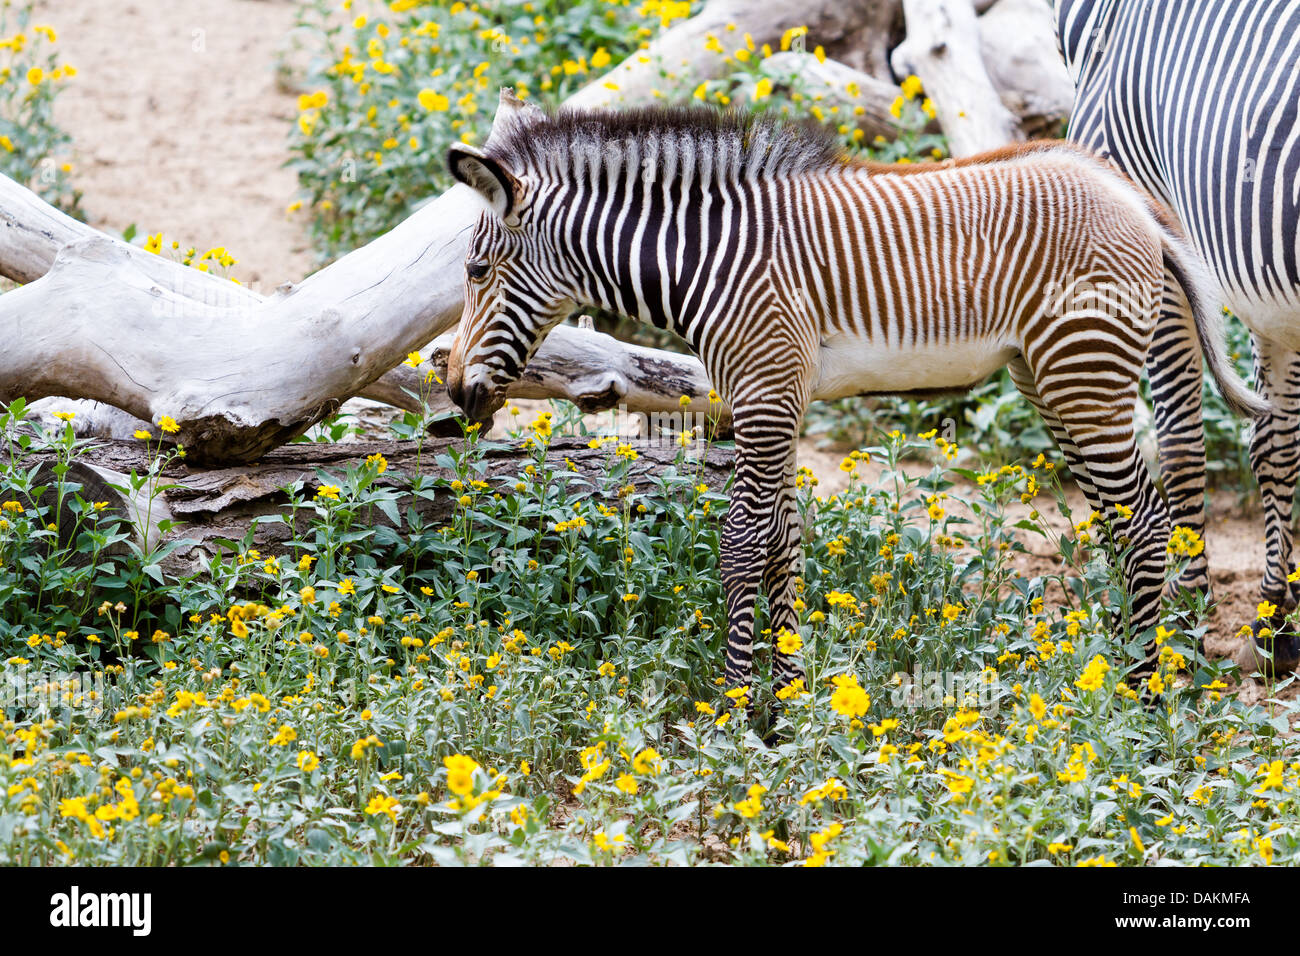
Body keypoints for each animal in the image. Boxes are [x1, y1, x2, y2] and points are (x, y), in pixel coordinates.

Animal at [443, 105, 1264, 698]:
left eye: (476, 271)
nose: (455, 393)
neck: (709, 259)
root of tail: (1136, 201)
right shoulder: (778, 395)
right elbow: (783, 544)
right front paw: (788, 707)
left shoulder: (766, 391)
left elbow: (742, 545)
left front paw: (730, 711)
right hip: (1053, 375)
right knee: (1125, 521)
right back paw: (1122, 678)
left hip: (1084, 372)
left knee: (1148, 523)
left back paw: (1141, 696)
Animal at [1055, 0, 1300, 672]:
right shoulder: (1271, 296)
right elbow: (1276, 445)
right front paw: (1276, 620)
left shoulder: (1143, 225)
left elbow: (1181, 441)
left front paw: (1189, 615)